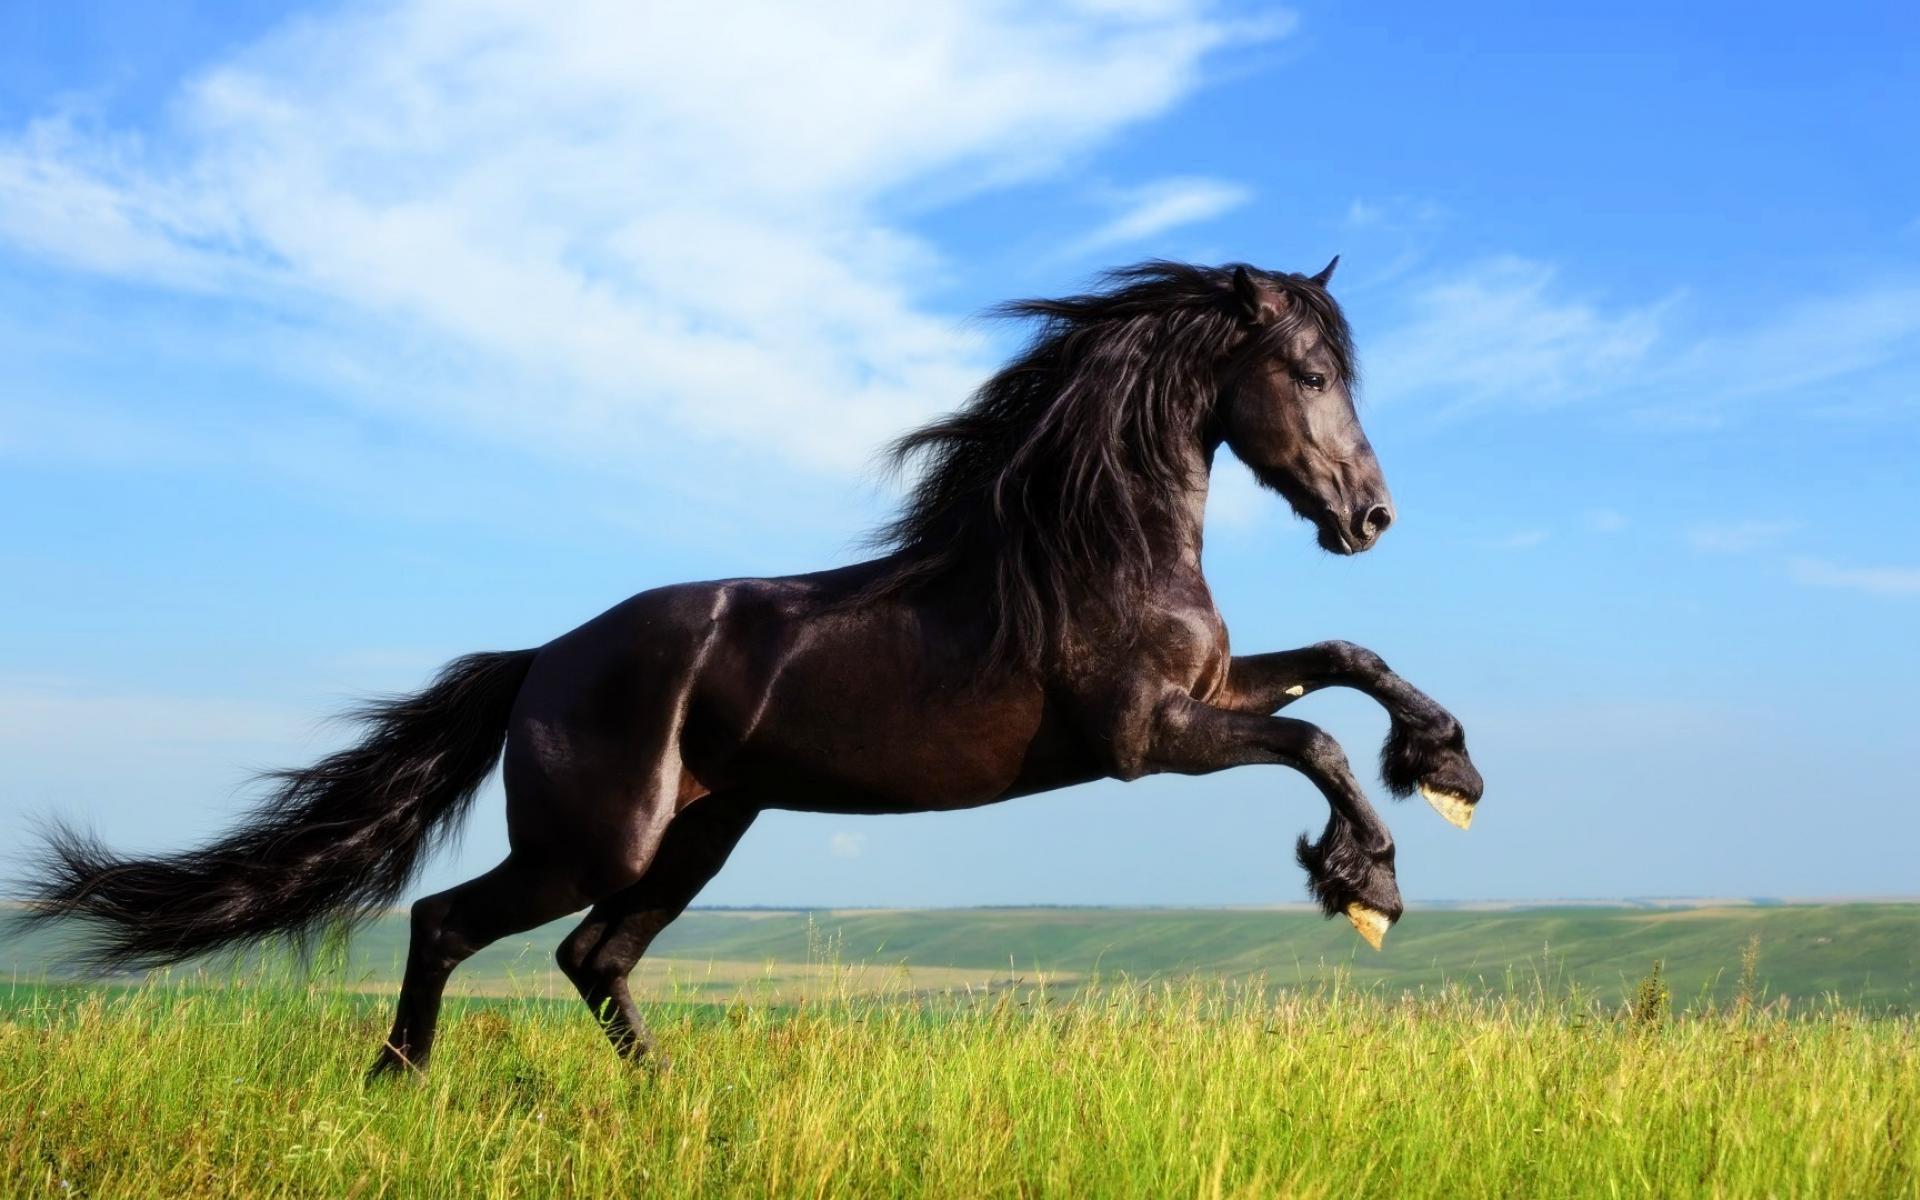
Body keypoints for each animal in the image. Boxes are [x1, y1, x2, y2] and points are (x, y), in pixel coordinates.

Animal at [21, 258, 1484, 1079]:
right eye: (1307, 371)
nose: (1369, 516)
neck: (1091, 547)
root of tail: (541, 660)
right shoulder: (1146, 738)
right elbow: (1315, 740)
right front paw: (1368, 884)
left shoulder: (1209, 693)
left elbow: (1346, 661)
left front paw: (1448, 769)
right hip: (597, 840)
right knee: (452, 925)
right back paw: (397, 1085)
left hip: (703, 833)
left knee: (594, 959)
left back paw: (667, 1100)